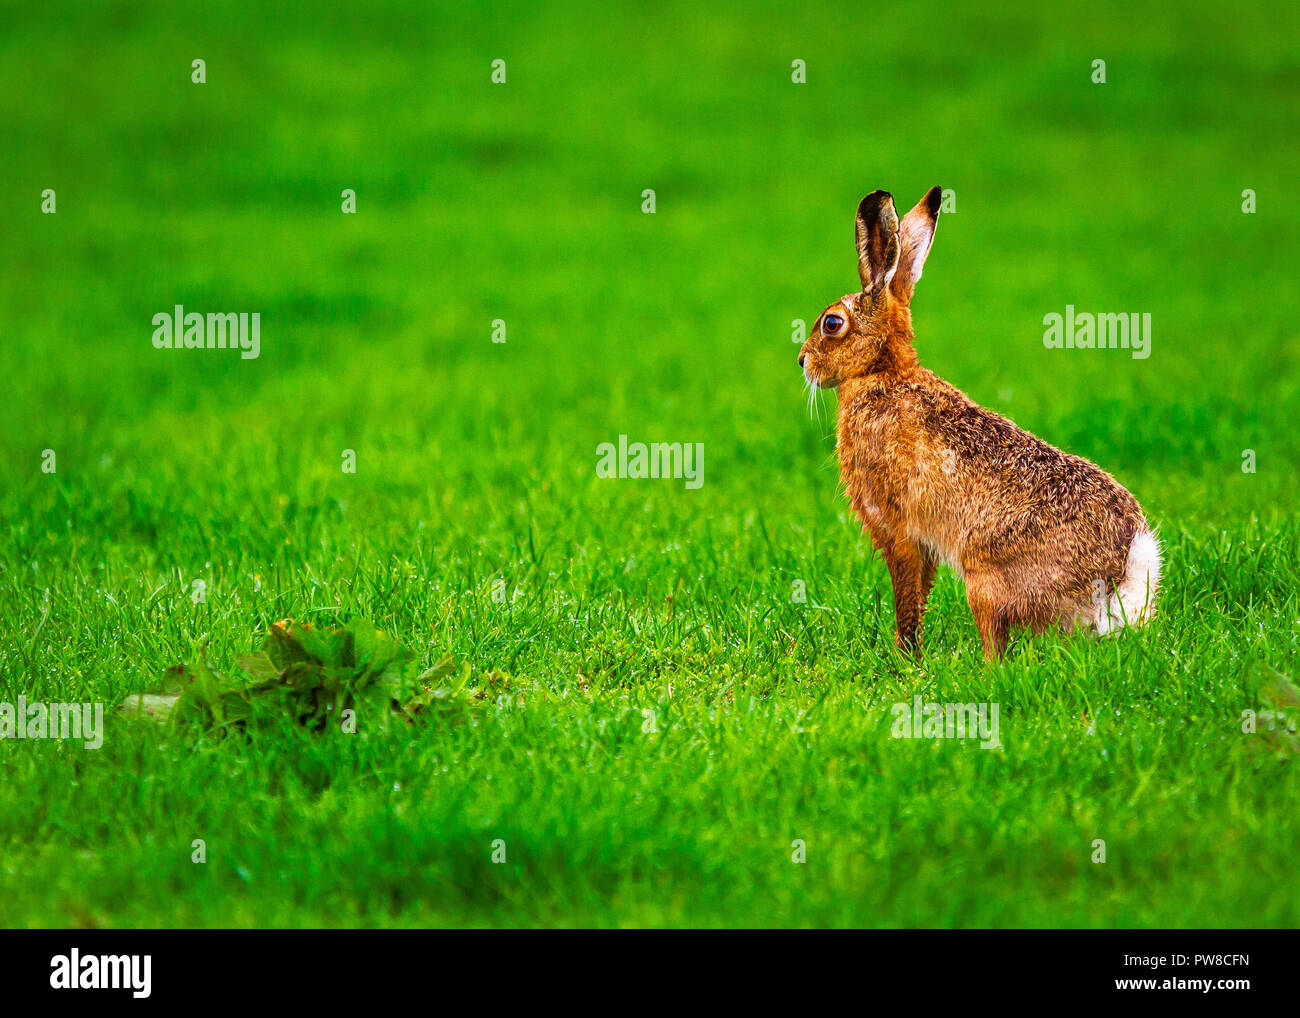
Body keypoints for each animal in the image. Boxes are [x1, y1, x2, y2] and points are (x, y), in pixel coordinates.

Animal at [797, 187, 1160, 659]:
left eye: (832, 323)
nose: (801, 360)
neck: (881, 371)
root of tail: (1124, 570)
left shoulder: (898, 529)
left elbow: (907, 594)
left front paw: (905, 656)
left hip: (984, 582)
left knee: (996, 648)